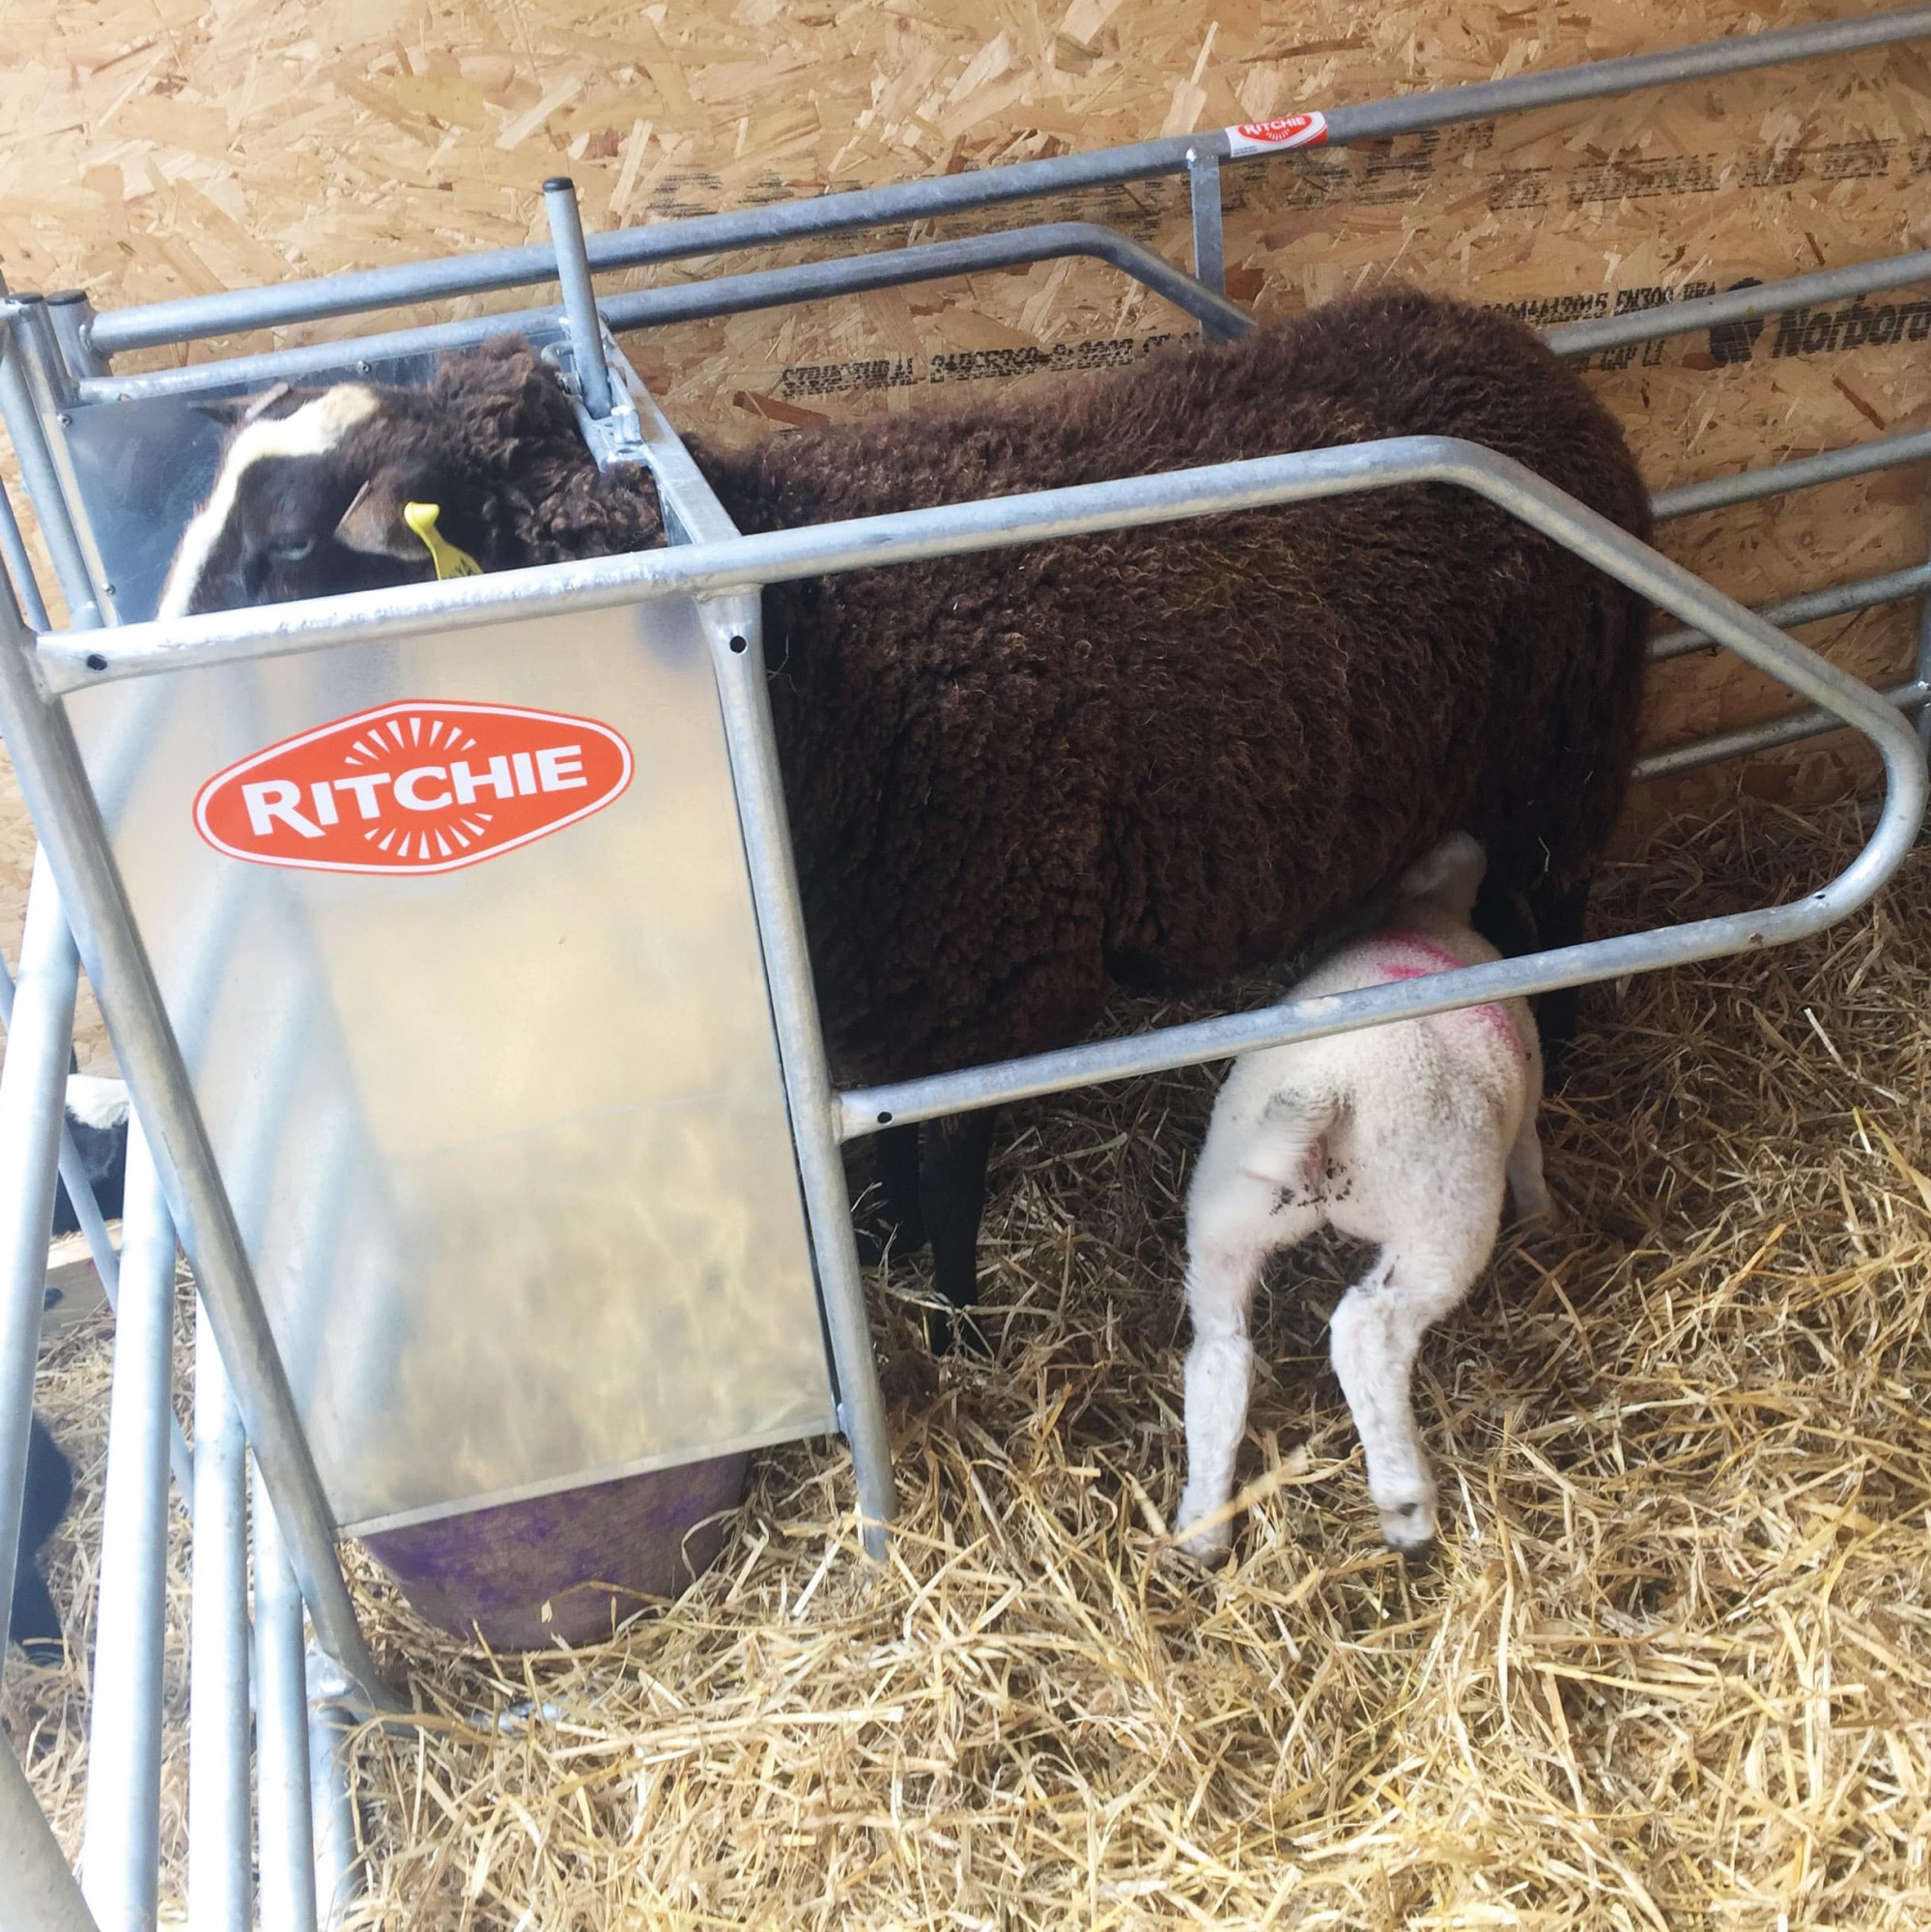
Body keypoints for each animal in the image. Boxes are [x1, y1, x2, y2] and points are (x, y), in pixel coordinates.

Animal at [159, 286, 1651, 1350]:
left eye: (288, 550)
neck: (808, 652)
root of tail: (1516, 346)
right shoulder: (868, 984)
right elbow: (871, 1153)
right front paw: (871, 1254)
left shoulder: (980, 977)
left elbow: (945, 1170)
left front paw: (955, 1324)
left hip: (1558, 759)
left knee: (1559, 917)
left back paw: (1566, 1063)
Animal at [1173, 832, 1549, 1562]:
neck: (1426, 912)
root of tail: (1327, 1090)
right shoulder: (1531, 1080)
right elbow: (1530, 1156)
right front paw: (1546, 1220)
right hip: (1441, 1211)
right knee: (1365, 1330)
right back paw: (1405, 1506)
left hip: (1226, 1207)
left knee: (1220, 1353)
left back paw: (1202, 1524)